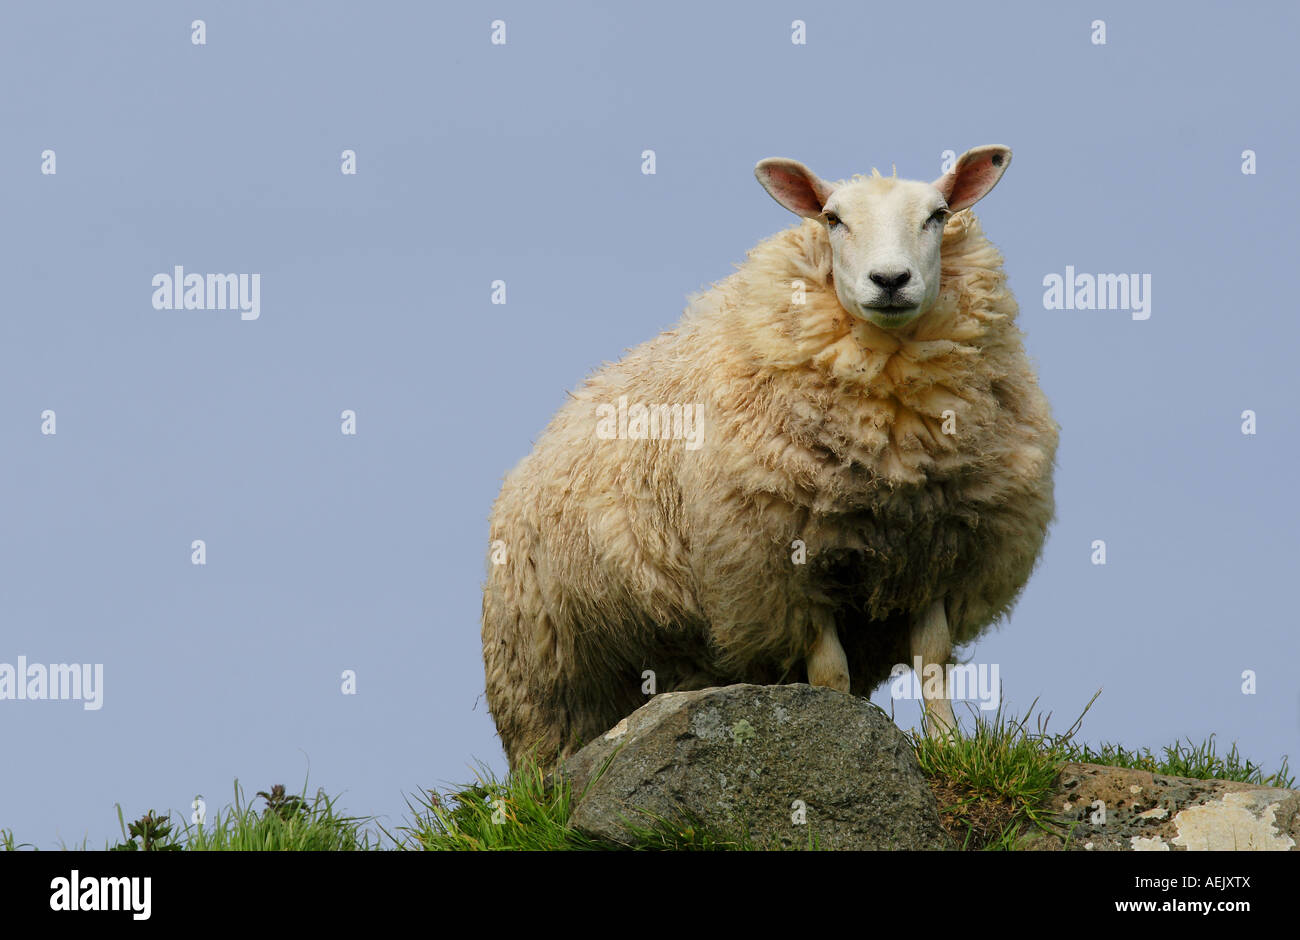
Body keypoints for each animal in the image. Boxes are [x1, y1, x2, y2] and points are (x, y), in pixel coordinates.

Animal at [482, 146, 1058, 772]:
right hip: (544, 674)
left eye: (938, 214)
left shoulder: (938, 552)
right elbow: (830, 674)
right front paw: (841, 732)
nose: (890, 280)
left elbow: (932, 662)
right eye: (832, 218)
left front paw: (947, 745)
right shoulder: (783, 567)